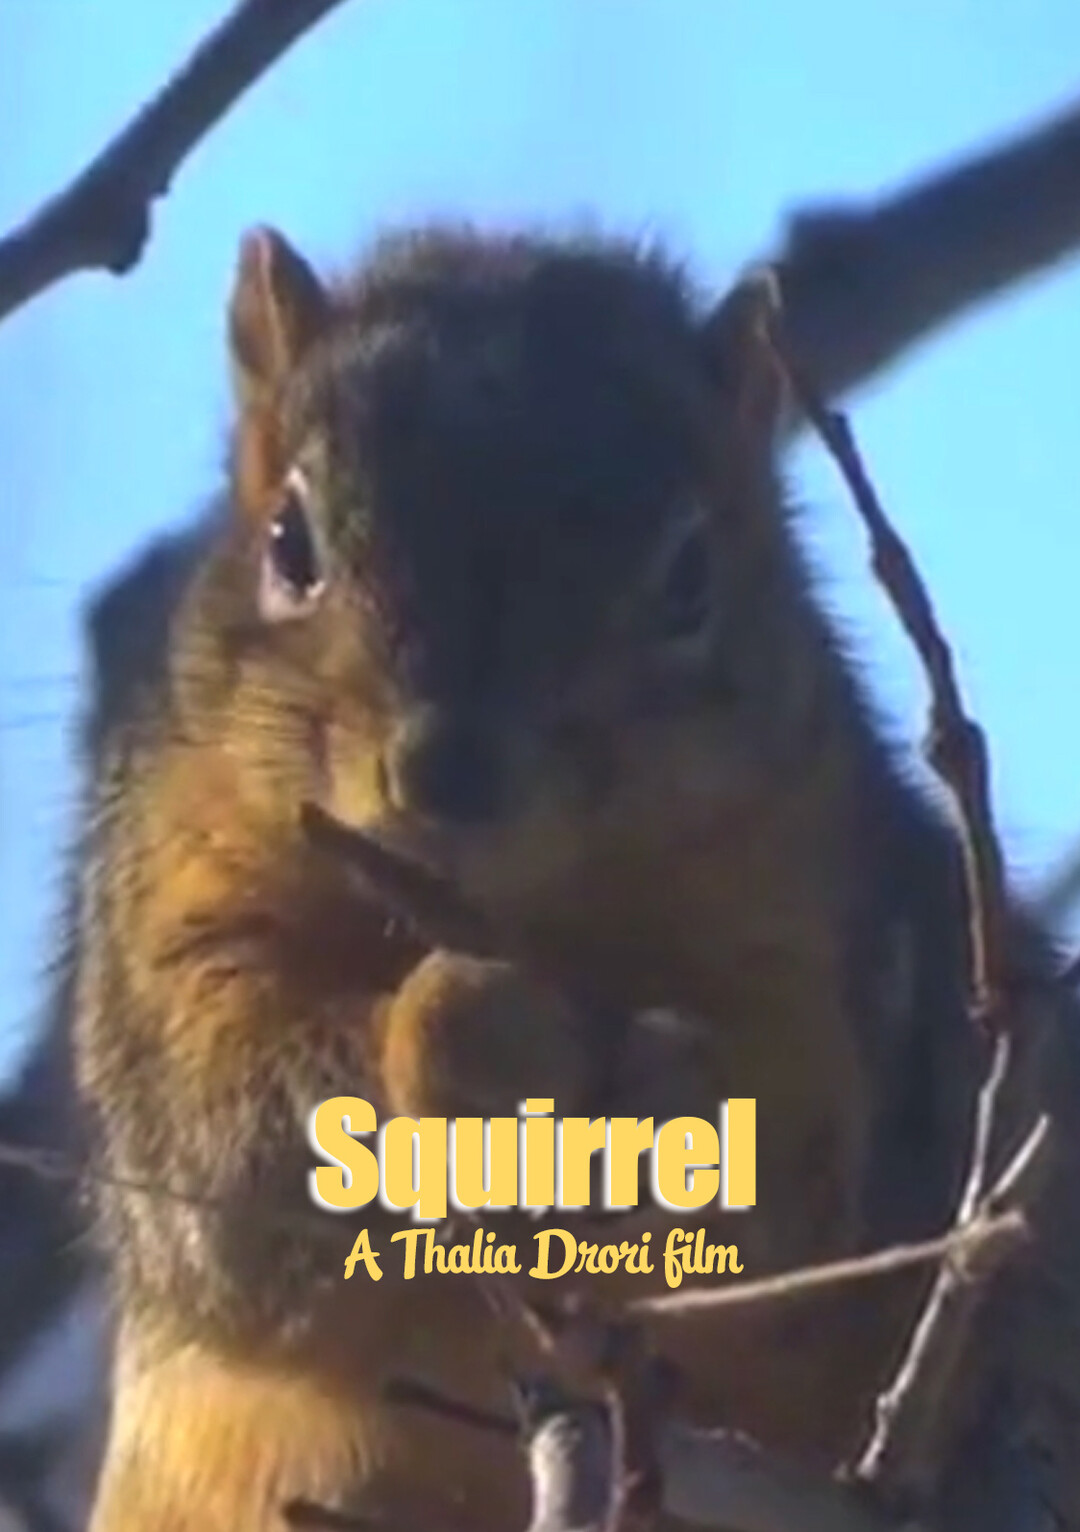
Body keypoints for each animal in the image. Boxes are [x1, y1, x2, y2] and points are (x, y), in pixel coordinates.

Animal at [69, 222, 1080, 1532]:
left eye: (693, 575)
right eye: (288, 543)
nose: (451, 771)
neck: (517, 910)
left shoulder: (828, 944)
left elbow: (800, 1193)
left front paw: (670, 1096)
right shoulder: (166, 935)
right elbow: (225, 1153)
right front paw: (471, 1024)